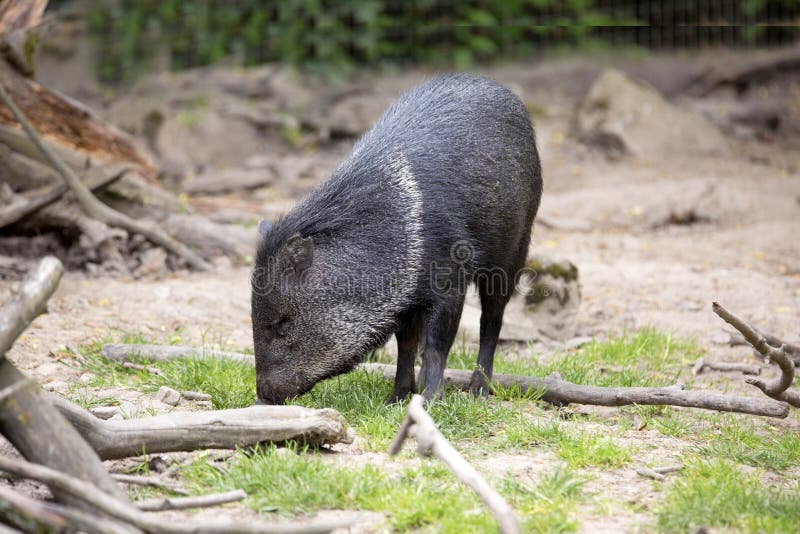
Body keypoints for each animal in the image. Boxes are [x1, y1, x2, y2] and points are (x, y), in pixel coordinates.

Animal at [251, 73, 542, 404]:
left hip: (512, 255)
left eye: (282, 322)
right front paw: (397, 398)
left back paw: (479, 390)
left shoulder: (449, 285)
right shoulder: (405, 302)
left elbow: (436, 346)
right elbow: (406, 346)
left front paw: (429, 400)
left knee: (491, 324)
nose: (261, 398)